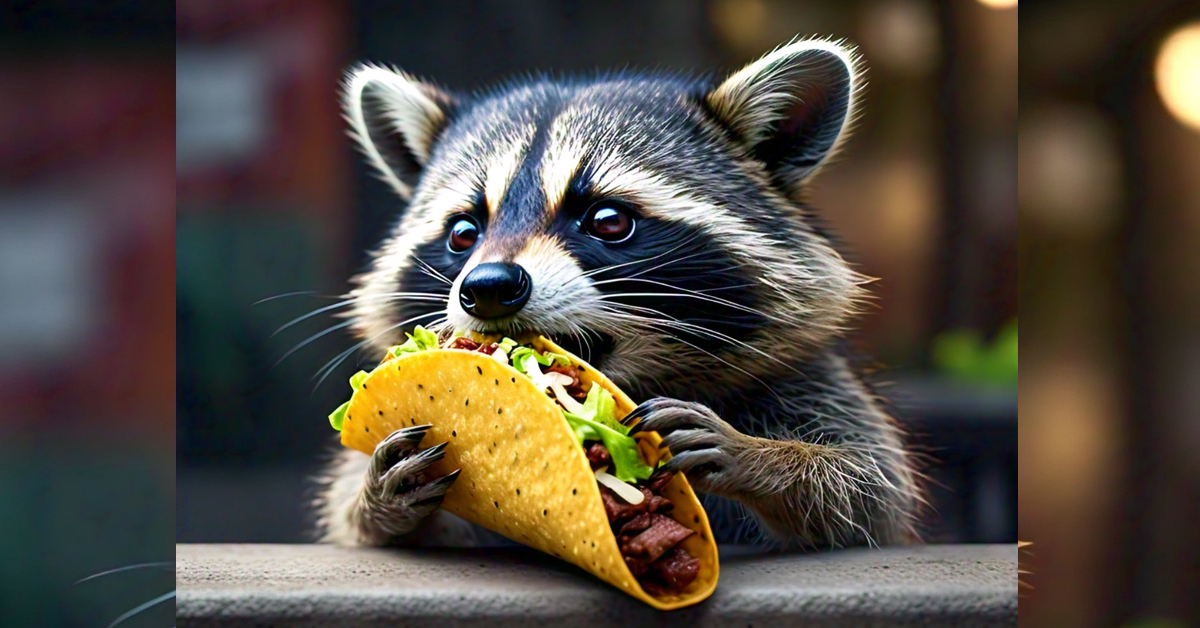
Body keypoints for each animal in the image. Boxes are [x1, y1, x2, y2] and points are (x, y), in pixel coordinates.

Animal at [314, 37, 923, 550]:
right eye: (463, 233)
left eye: (608, 220)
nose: (487, 288)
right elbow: (356, 518)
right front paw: (375, 499)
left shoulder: (809, 383)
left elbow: (870, 489)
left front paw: (766, 459)